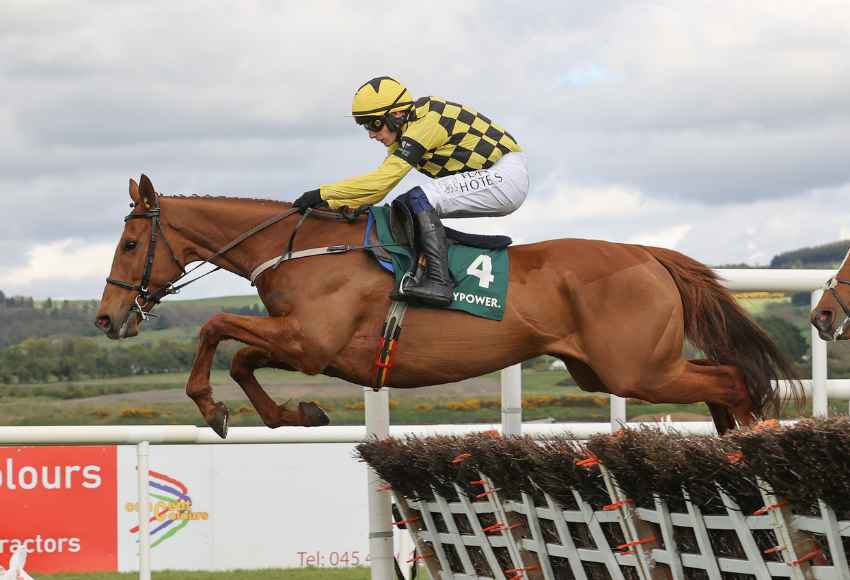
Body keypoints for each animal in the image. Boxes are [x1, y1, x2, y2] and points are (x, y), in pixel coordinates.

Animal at [95, 175, 800, 437]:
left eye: (129, 243)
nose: (106, 317)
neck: (300, 249)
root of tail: (648, 254)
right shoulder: (307, 345)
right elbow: (241, 357)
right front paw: (292, 413)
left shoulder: (312, 341)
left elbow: (217, 327)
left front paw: (211, 407)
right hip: (606, 370)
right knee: (722, 379)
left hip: (637, 370)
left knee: (733, 378)